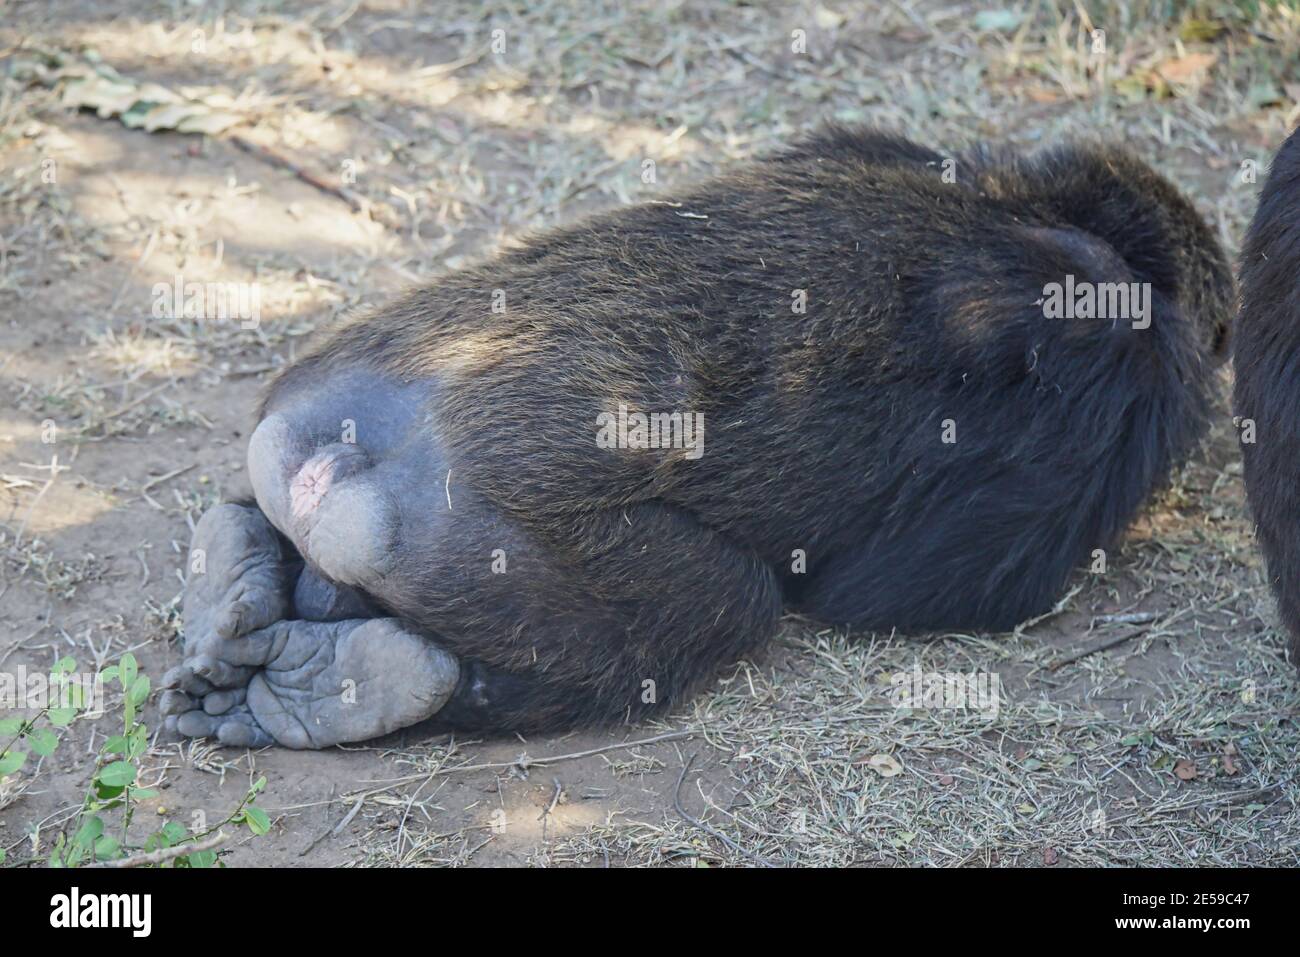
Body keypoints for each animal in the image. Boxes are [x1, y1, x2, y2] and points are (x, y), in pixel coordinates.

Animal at [157, 126, 1233, 749]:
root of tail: (337, 464)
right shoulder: (1118, 409)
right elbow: (906, 589)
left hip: (319, 391)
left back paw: (249, 601)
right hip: (477, 548)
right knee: (715, 611)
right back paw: (361, 677)